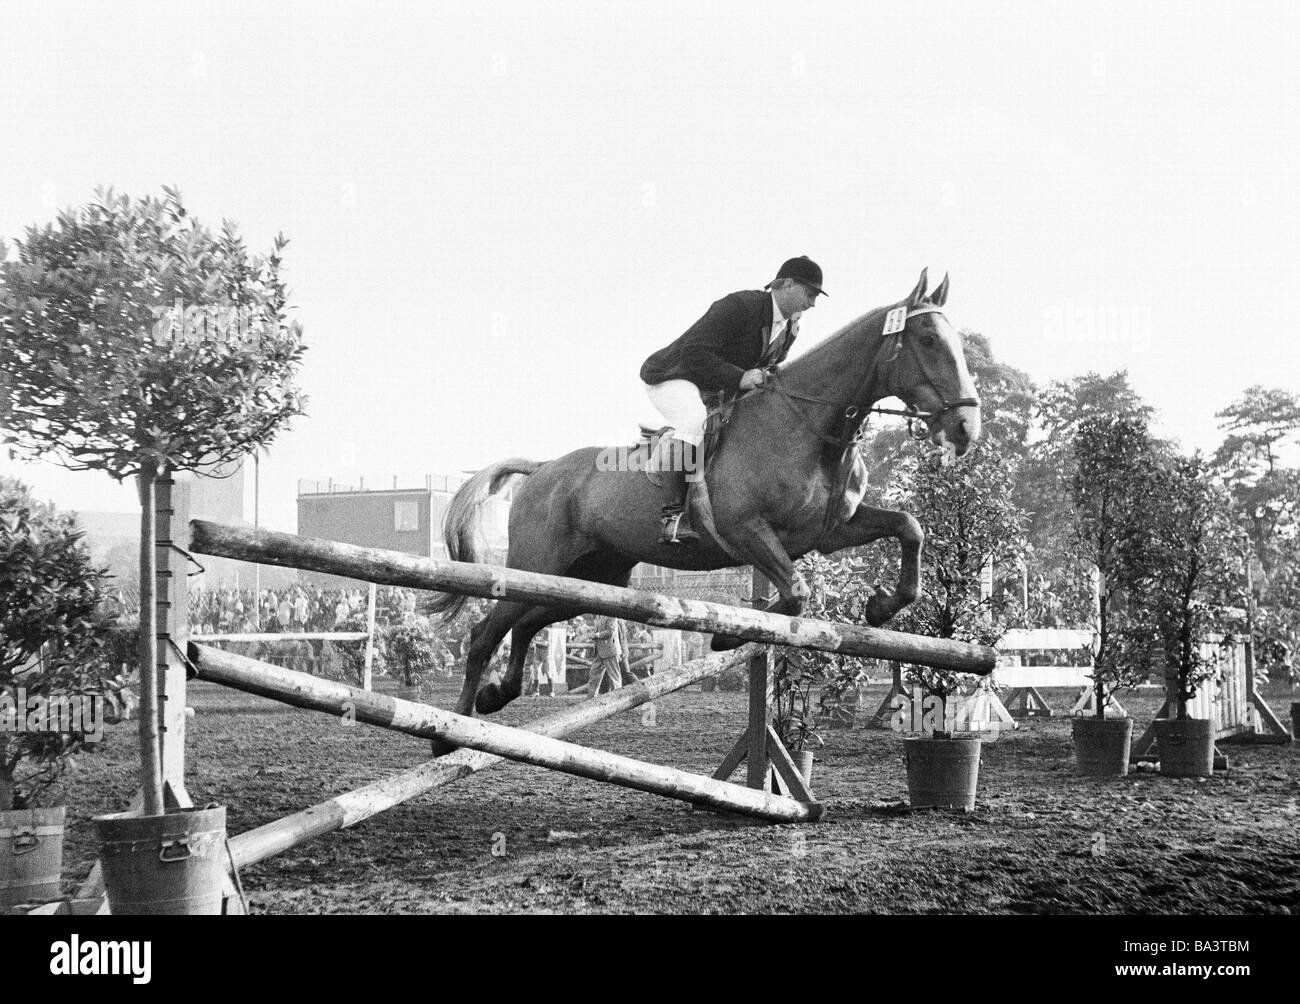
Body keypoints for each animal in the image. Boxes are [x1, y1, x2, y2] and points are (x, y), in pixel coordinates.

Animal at [427, 268, 981, 724]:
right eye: (928, 340)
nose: (965, 429)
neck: (807, 425)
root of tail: (542, 470)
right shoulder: (747, 530)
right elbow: (796, 594)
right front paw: (728, 634)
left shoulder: (830, 532)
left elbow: (908, 527)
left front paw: (883, 606)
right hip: (538, 566)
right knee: (485, 633)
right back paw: (453, 729)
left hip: (591, 575)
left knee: (526, 625)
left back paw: (496, 696)